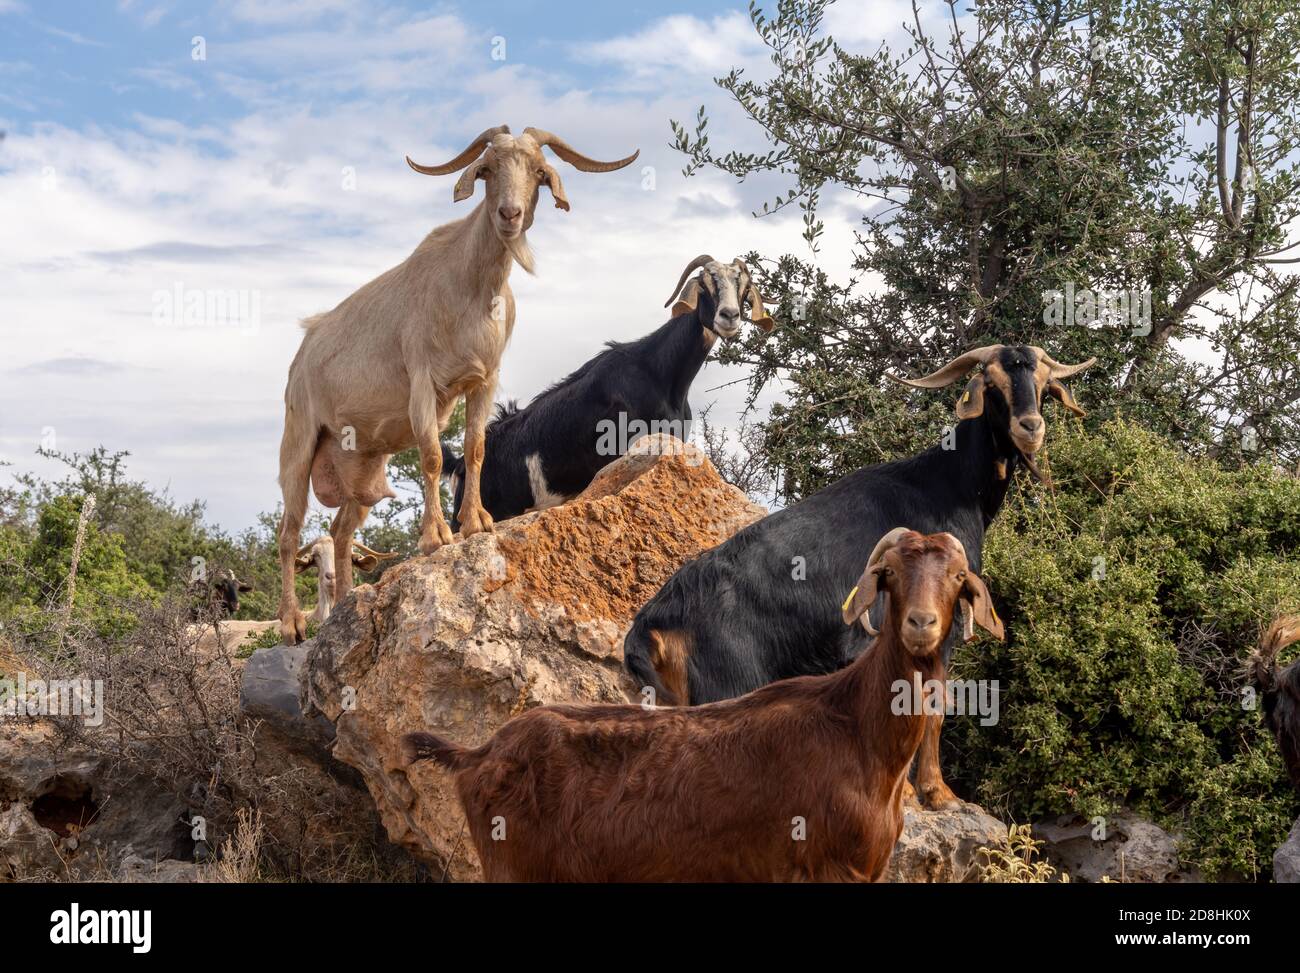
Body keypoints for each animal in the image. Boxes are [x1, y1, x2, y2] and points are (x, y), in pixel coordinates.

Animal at [275, 125, 638, 644]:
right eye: (486, 169)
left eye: (538, 172)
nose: (509, 214)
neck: (470, 289)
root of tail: (303, 351)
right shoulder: (422, 383)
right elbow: (430, 455)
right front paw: (435, 537)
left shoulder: (484, 380)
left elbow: (475, 447)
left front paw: (476, 523)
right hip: (299, 437)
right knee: (289, 530)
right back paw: (292, 624)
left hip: (361, 467)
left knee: (342, 529)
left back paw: (343, 603)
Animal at [403, 529, 1003, 882]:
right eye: (890, 575)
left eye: (958, 578)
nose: (921, 624)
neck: (859, 729)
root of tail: (479, 753)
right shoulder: (827, 867)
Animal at [623, 344, 1094, 808]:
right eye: (993, 385)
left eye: (1042, 384)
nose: (1030, 427)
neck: (949, 487)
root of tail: (650, 624)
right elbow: (930, 704)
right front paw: (934, 793)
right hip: (728, 685)